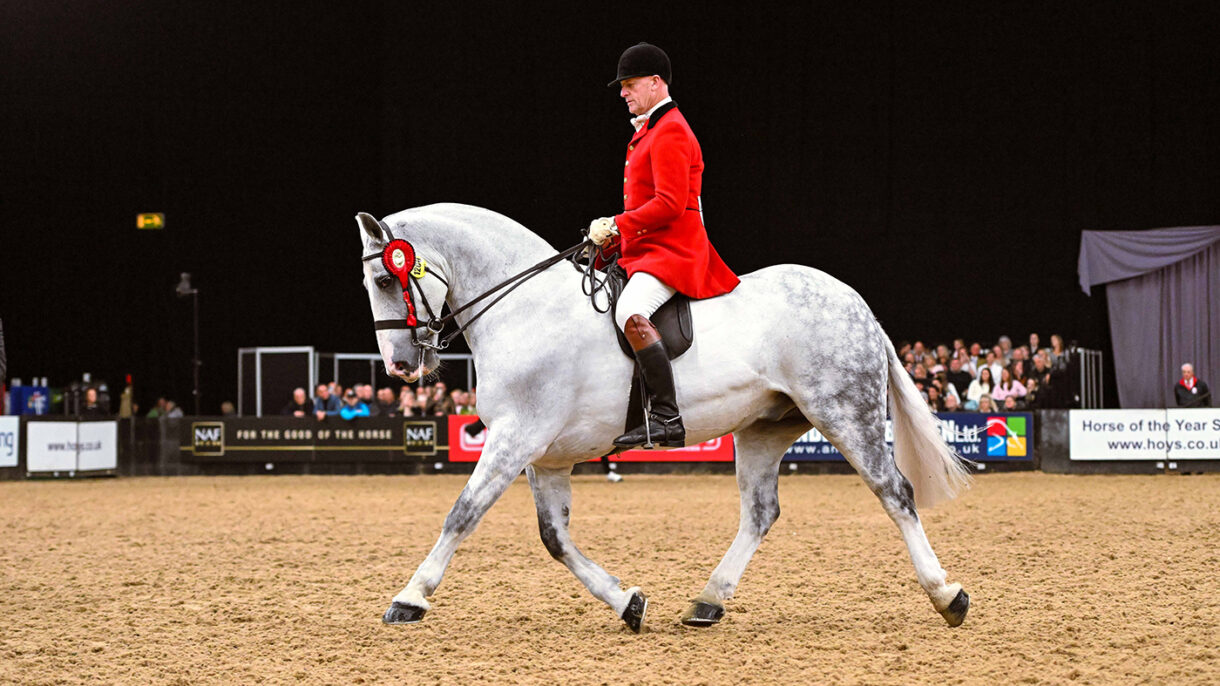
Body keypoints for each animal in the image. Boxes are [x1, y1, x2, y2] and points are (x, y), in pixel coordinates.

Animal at [356, 203, 972, 632]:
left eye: (386, 278)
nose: (400, 365)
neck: (525, 309)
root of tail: (856, 303)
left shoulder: (515, 437)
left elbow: (462, 515)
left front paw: (409, 598)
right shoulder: (545, 457)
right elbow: (555, 539)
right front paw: (627, 601)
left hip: (845, 413)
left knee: (894, 492)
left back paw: (948, 596)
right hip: (764, 429)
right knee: (761, 512)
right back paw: (707, 601)